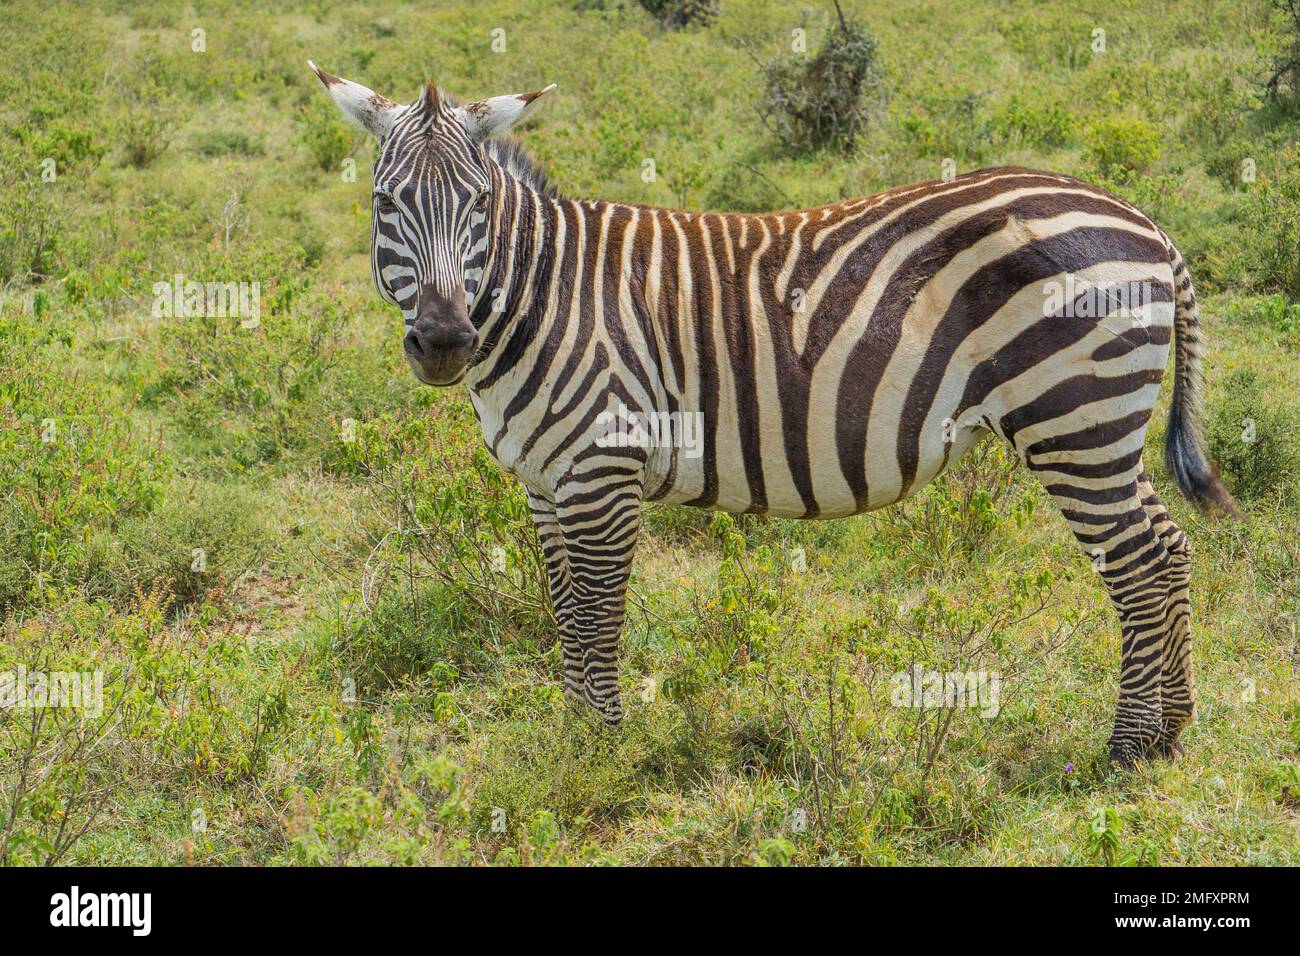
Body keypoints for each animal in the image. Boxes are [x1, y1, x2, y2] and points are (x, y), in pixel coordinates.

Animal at [310, 63, 1239, 767]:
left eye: (477, 206)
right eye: (385, 203)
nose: (442, 341)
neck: (545, 298)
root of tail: (1140, 217)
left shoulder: (603, 468)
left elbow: (598, 613)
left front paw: (601, 751)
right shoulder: (545, 482)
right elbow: (565, 608)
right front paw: (574, 736)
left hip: (1073, 419)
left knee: (1138, 564)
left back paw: (1127, 747)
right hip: (1101, 427)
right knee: (1168, 548)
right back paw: (1173, 728)